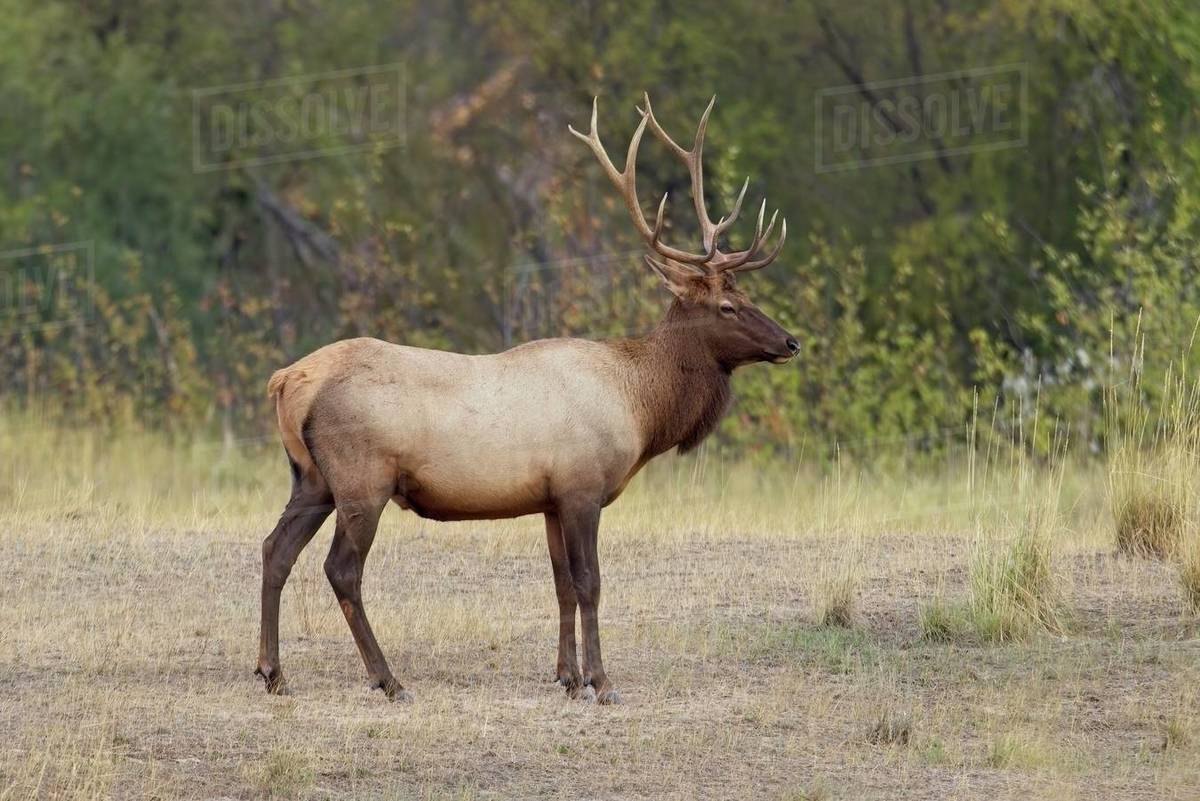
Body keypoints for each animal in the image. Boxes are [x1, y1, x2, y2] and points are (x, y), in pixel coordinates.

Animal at [255, 93, 798, 705]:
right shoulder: (583, 487)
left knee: (274, 549)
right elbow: (590, 583)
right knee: (341, 568)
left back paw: (273, 672)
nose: (790, 342)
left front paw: (567, 676)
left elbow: (560, 584)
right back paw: (388, 679)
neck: (638, 407)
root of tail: (288, 380)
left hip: (311, 479)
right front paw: (602, 682)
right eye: (728, 306)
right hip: (362, 479)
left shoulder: (551, 499)